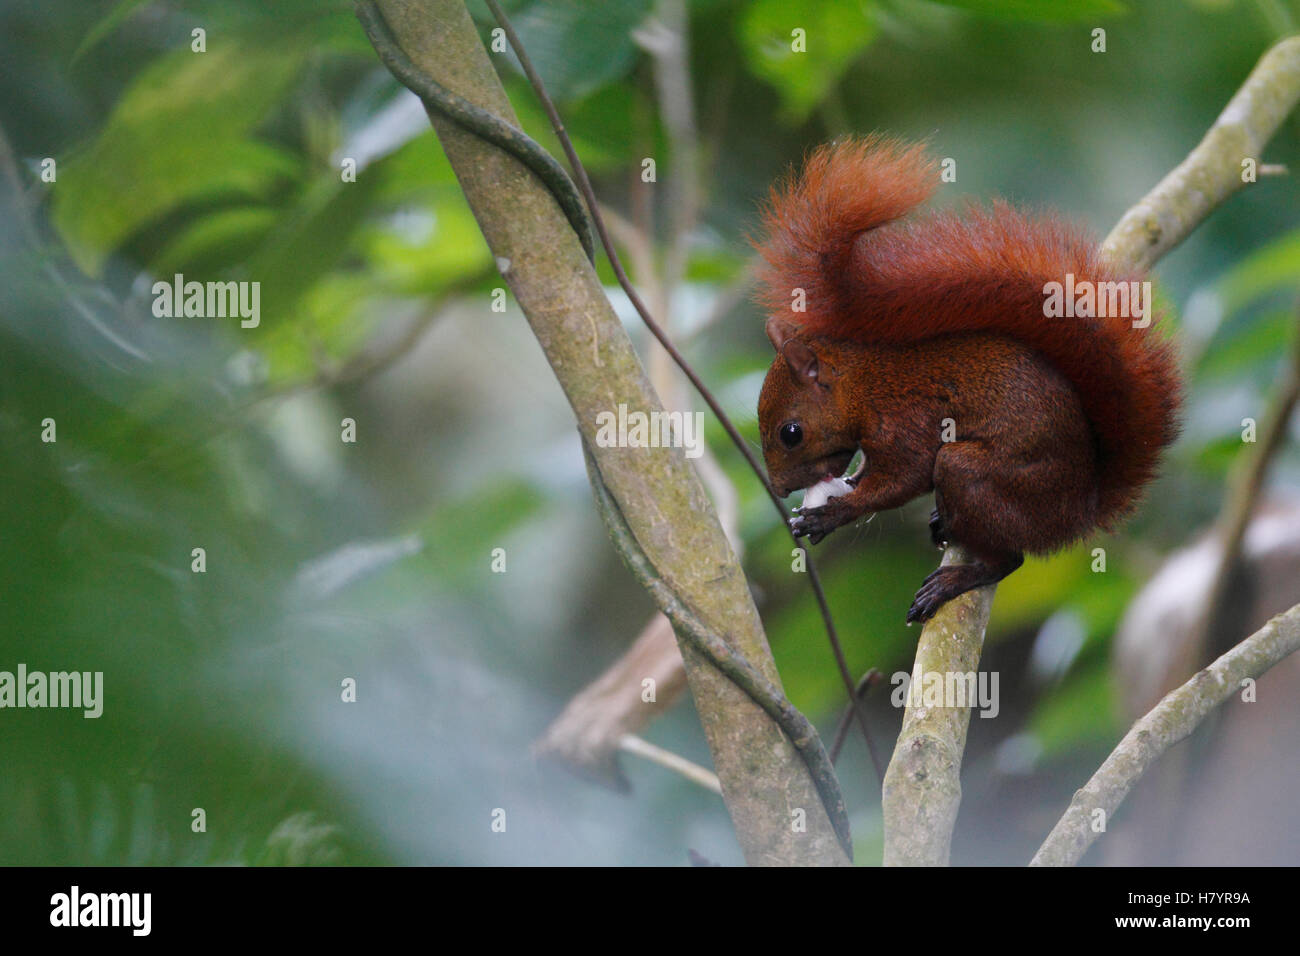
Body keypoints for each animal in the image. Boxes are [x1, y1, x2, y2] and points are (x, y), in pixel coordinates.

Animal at [752, 136, 1182, 623]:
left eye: (790, 433)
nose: (779, 488)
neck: (863, 387)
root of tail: (1078, 510)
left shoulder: (906, 421)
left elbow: (906, 478)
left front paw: (832, 514)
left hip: (980, 478)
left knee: (1009, 558)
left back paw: (957, 579)